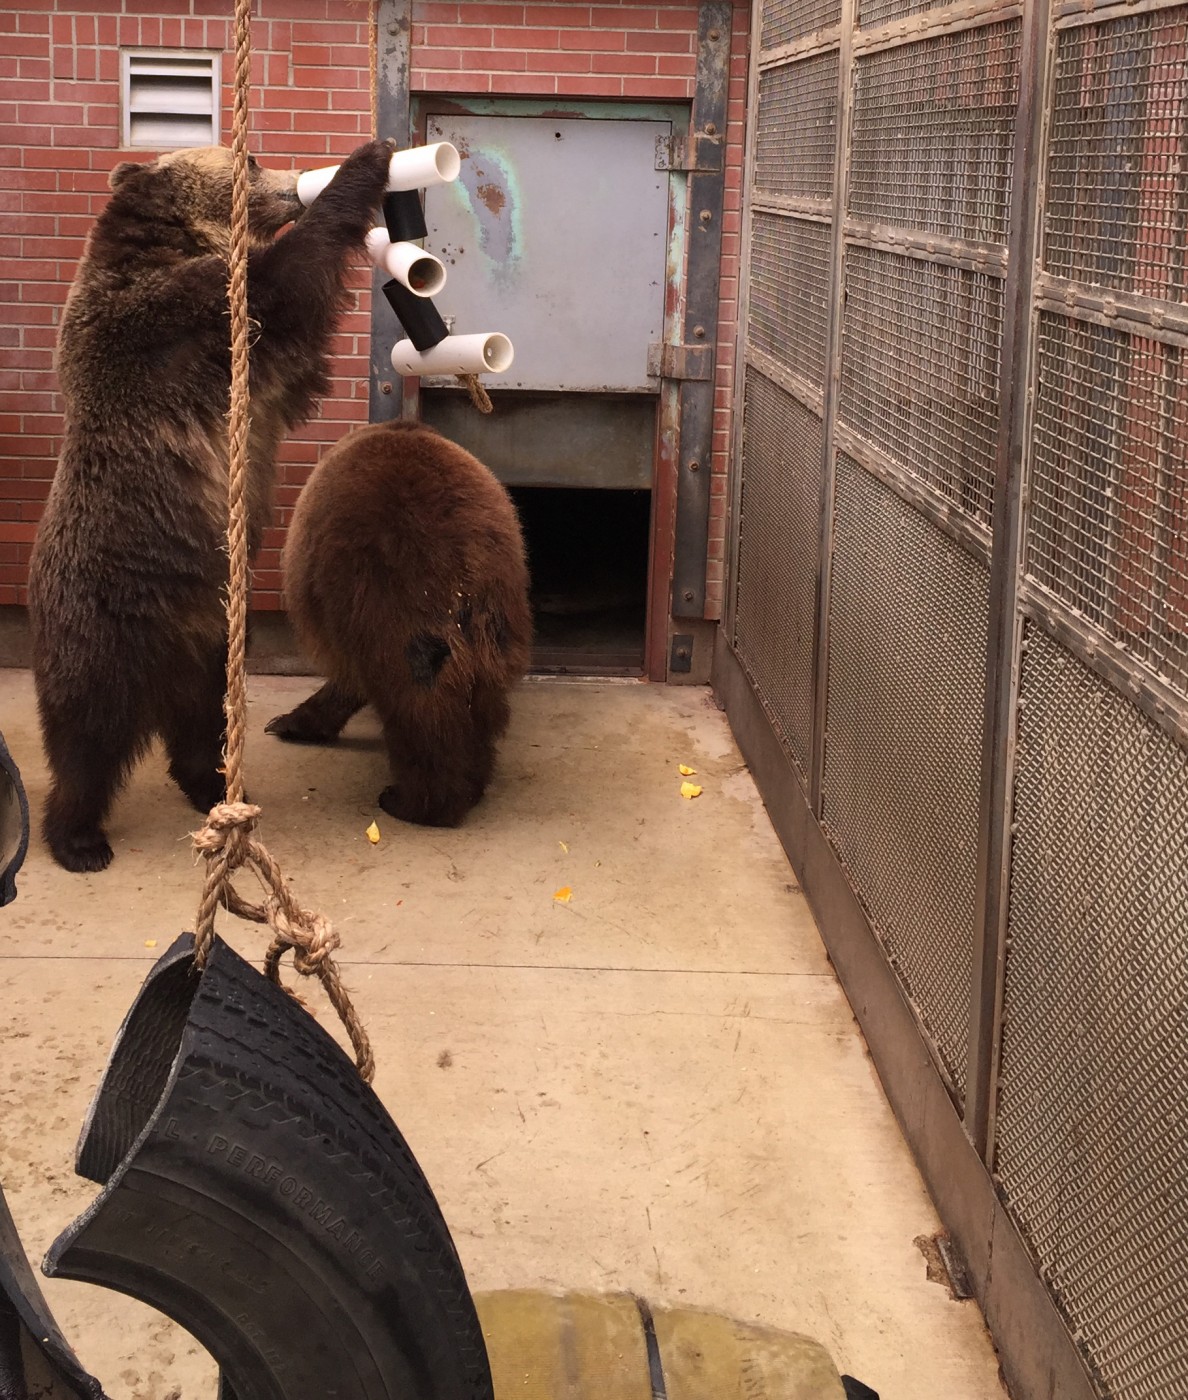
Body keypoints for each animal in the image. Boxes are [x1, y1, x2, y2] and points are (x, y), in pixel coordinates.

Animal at [28, 138, 397, 872]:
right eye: (250, 160)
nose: (293, 181)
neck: (178, 239)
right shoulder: (175, 316)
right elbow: (281, 285)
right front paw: (363, 166)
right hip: (101, 617)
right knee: (87, 731)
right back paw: (78, 837)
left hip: (213, 639)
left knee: (203, 722)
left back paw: (214, 787)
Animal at [265, 420, 532, 827]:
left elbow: (350, 680)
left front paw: (291, 722)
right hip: (496, 617)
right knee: (480, 701)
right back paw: (474, 779)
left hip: (390, 589)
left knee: (415, 699)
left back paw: (416, 800)